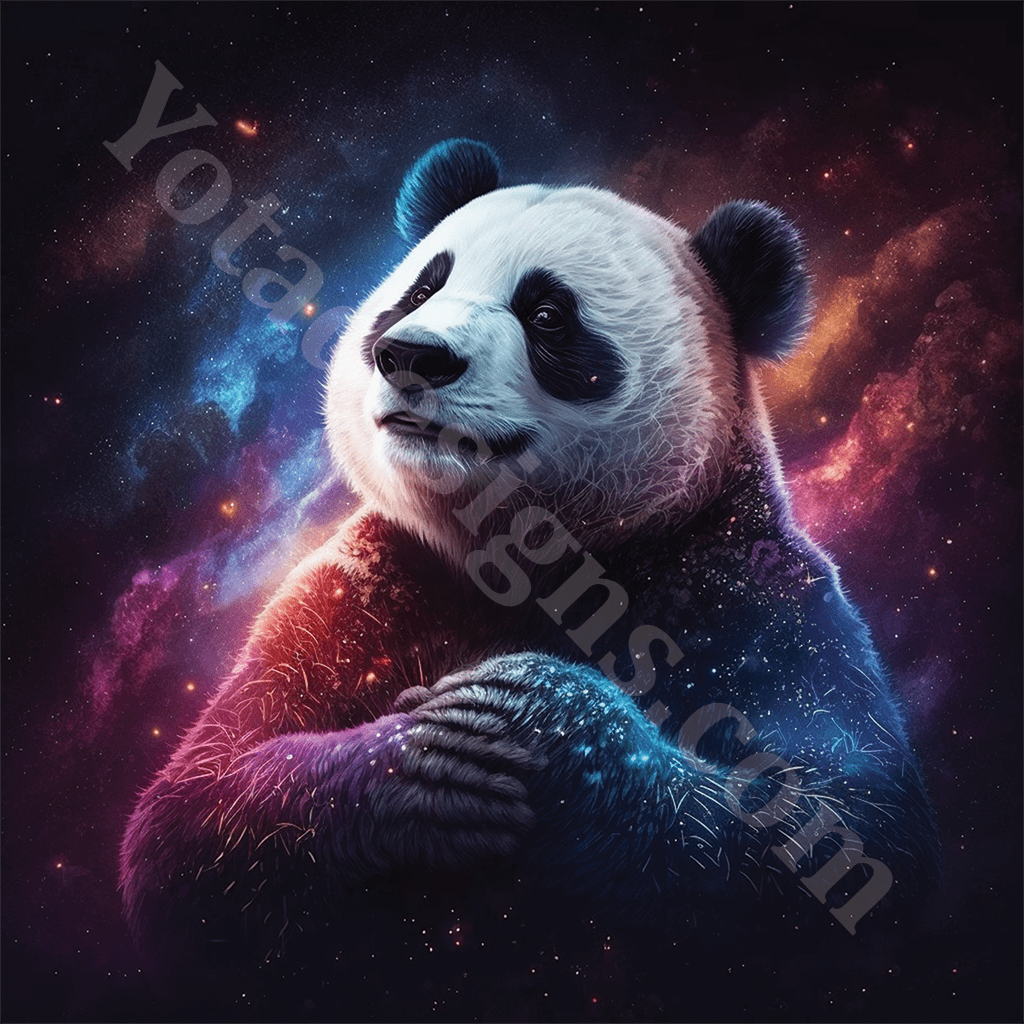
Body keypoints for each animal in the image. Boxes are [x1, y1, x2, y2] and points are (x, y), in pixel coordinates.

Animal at [121, 139, 938, 1017]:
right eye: (423, 286)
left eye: (547, 314)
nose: (413, 355)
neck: (536, 558)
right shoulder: (367, 588)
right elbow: (191, 816)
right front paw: (426, 758)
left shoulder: (750, 589)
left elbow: (848, 838)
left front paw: (523, 716)